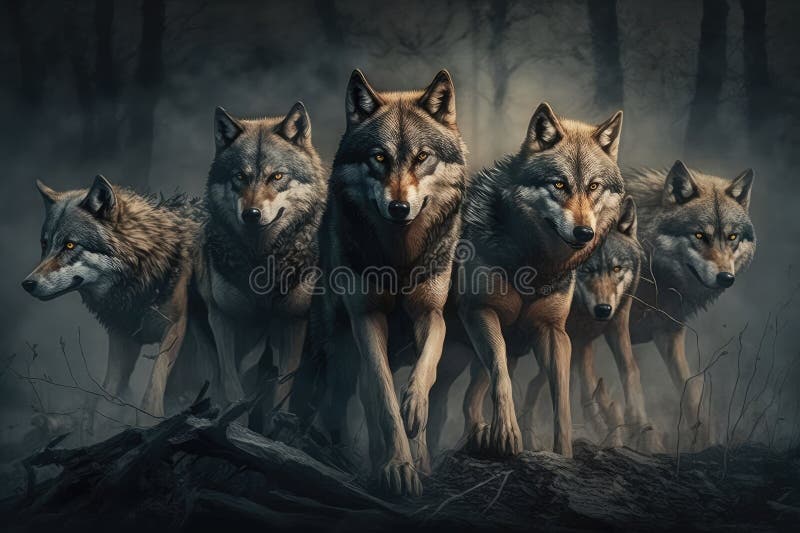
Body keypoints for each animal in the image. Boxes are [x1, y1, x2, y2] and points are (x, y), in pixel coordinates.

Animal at [22, 175, 212, 430]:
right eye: (44, 244)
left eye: (70, 245)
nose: (27, 284)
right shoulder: (122, 337)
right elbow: (107, 397)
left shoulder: (174, 327)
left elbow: (154, 382)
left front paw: (149, 422)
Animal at [197, 101, 326, 426]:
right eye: (240, 177)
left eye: (277, 177)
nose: (252, 214)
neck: (261, 264)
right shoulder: (222, 319)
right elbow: (233, 387)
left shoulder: (292, 322)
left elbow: (282, 388)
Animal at [307, 69, 466, 497]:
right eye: (379, 157)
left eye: (422, 157)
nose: (399, 207)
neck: (399, 259)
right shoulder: (367, 320)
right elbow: (382, 400)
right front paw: (397, 467)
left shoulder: (431, 314)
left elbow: (426, 369)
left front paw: (415, 410)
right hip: (341, 350)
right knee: (356, 395)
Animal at [453, 102, 624, 458]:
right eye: (559, 185)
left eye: (593, 186)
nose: (584, 233)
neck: (535, 267)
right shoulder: (480, 313)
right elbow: (501, 375)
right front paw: (506, 435)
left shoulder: (554, 332)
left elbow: (561, 399)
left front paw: (564, 453)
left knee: (465, 402)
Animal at [624, 160, 756, 447]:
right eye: (699, 235)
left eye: (732, 237)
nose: (726, 277)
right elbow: (628, 380)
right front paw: (645, 442)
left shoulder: (669, 333)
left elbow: (691, 391)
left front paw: (704, 444)